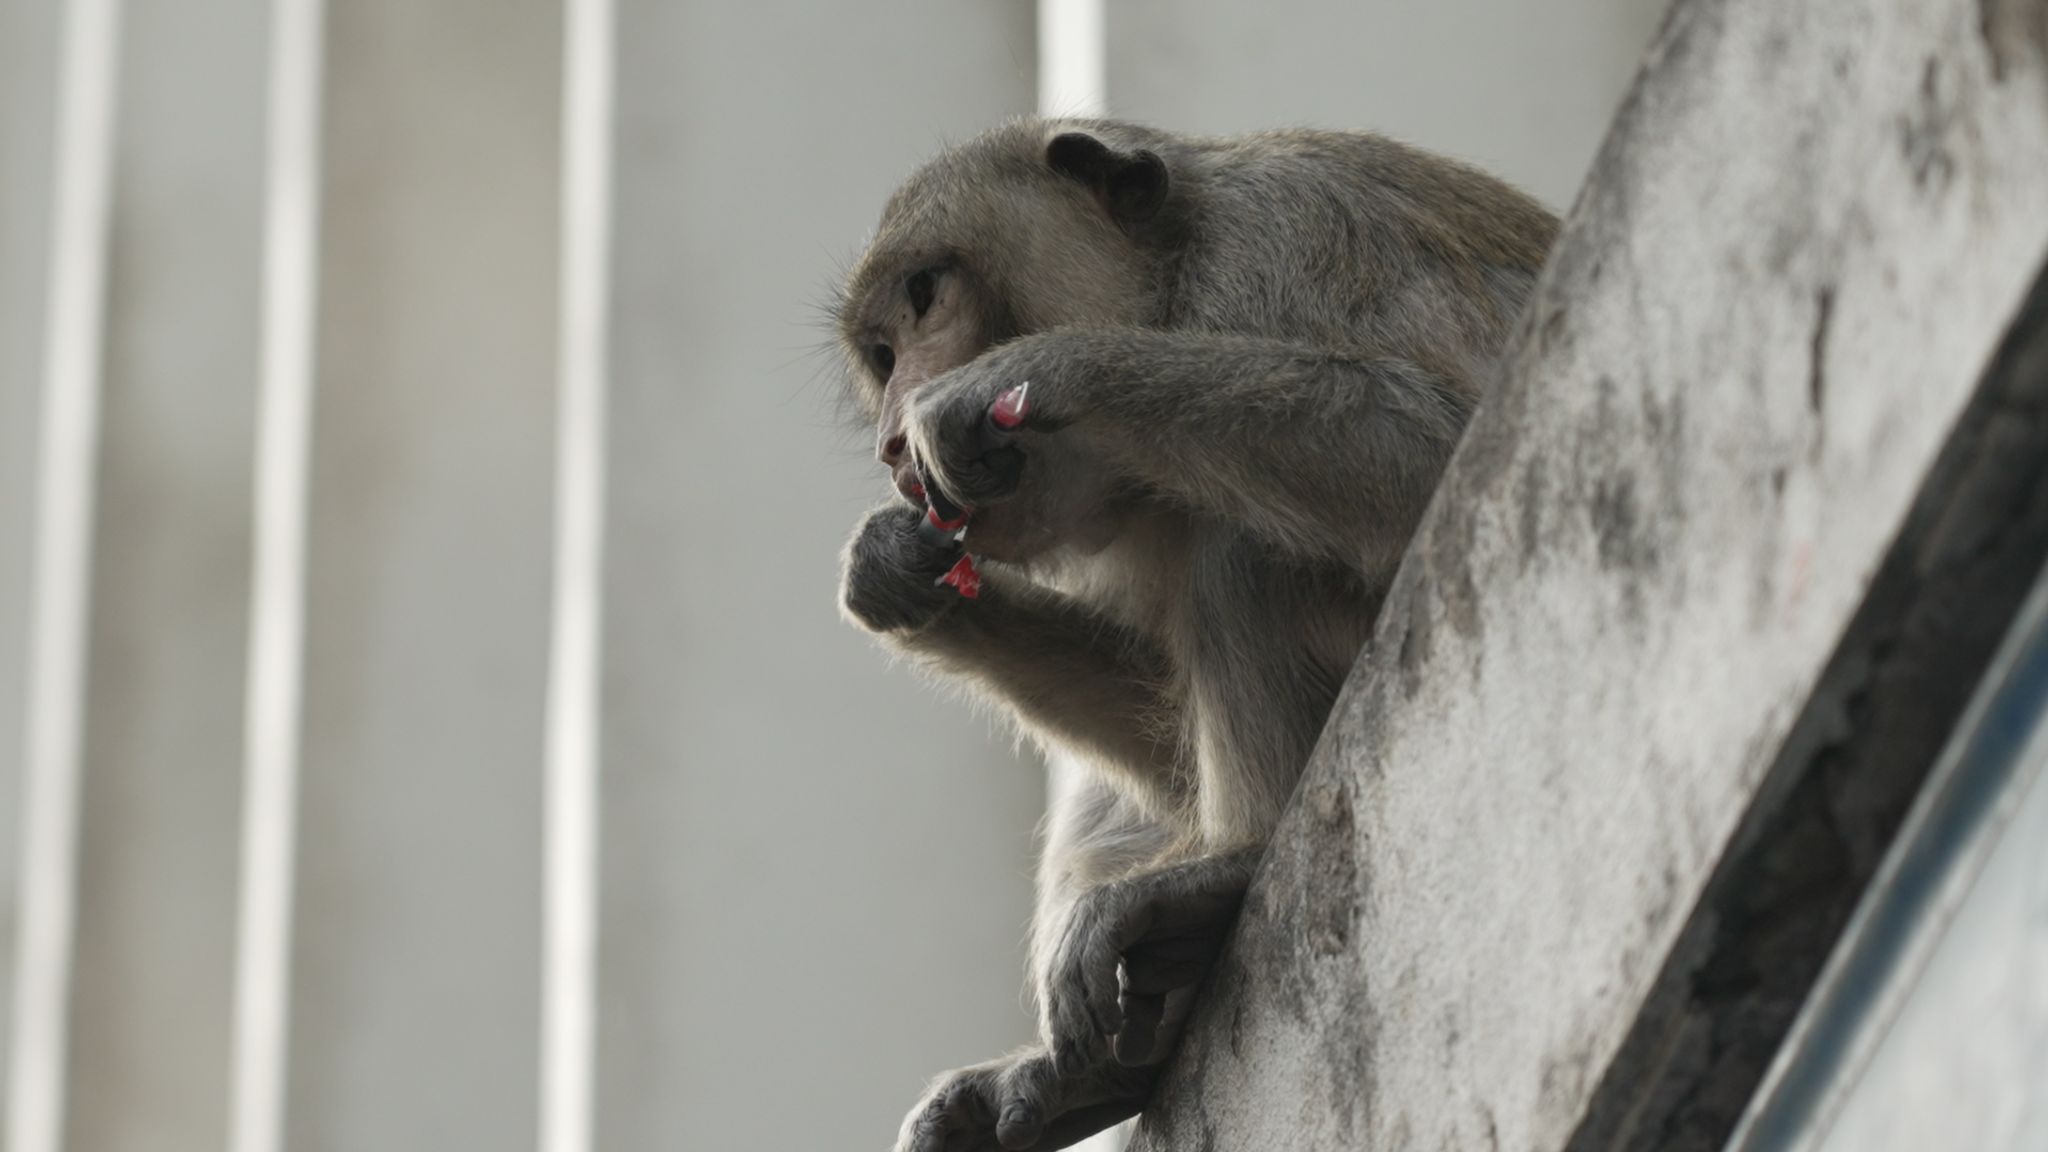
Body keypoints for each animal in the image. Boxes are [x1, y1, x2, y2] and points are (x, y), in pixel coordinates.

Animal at [833, 119, 1558, 1151]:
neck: (1173, 279)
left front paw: (1057, 365)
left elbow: (1438, 444)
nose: (894, 439)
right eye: (880, 353)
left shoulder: (1278, 245)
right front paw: (899, 571)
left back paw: (1233, 864)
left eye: (927, 295)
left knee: (1242, 546)